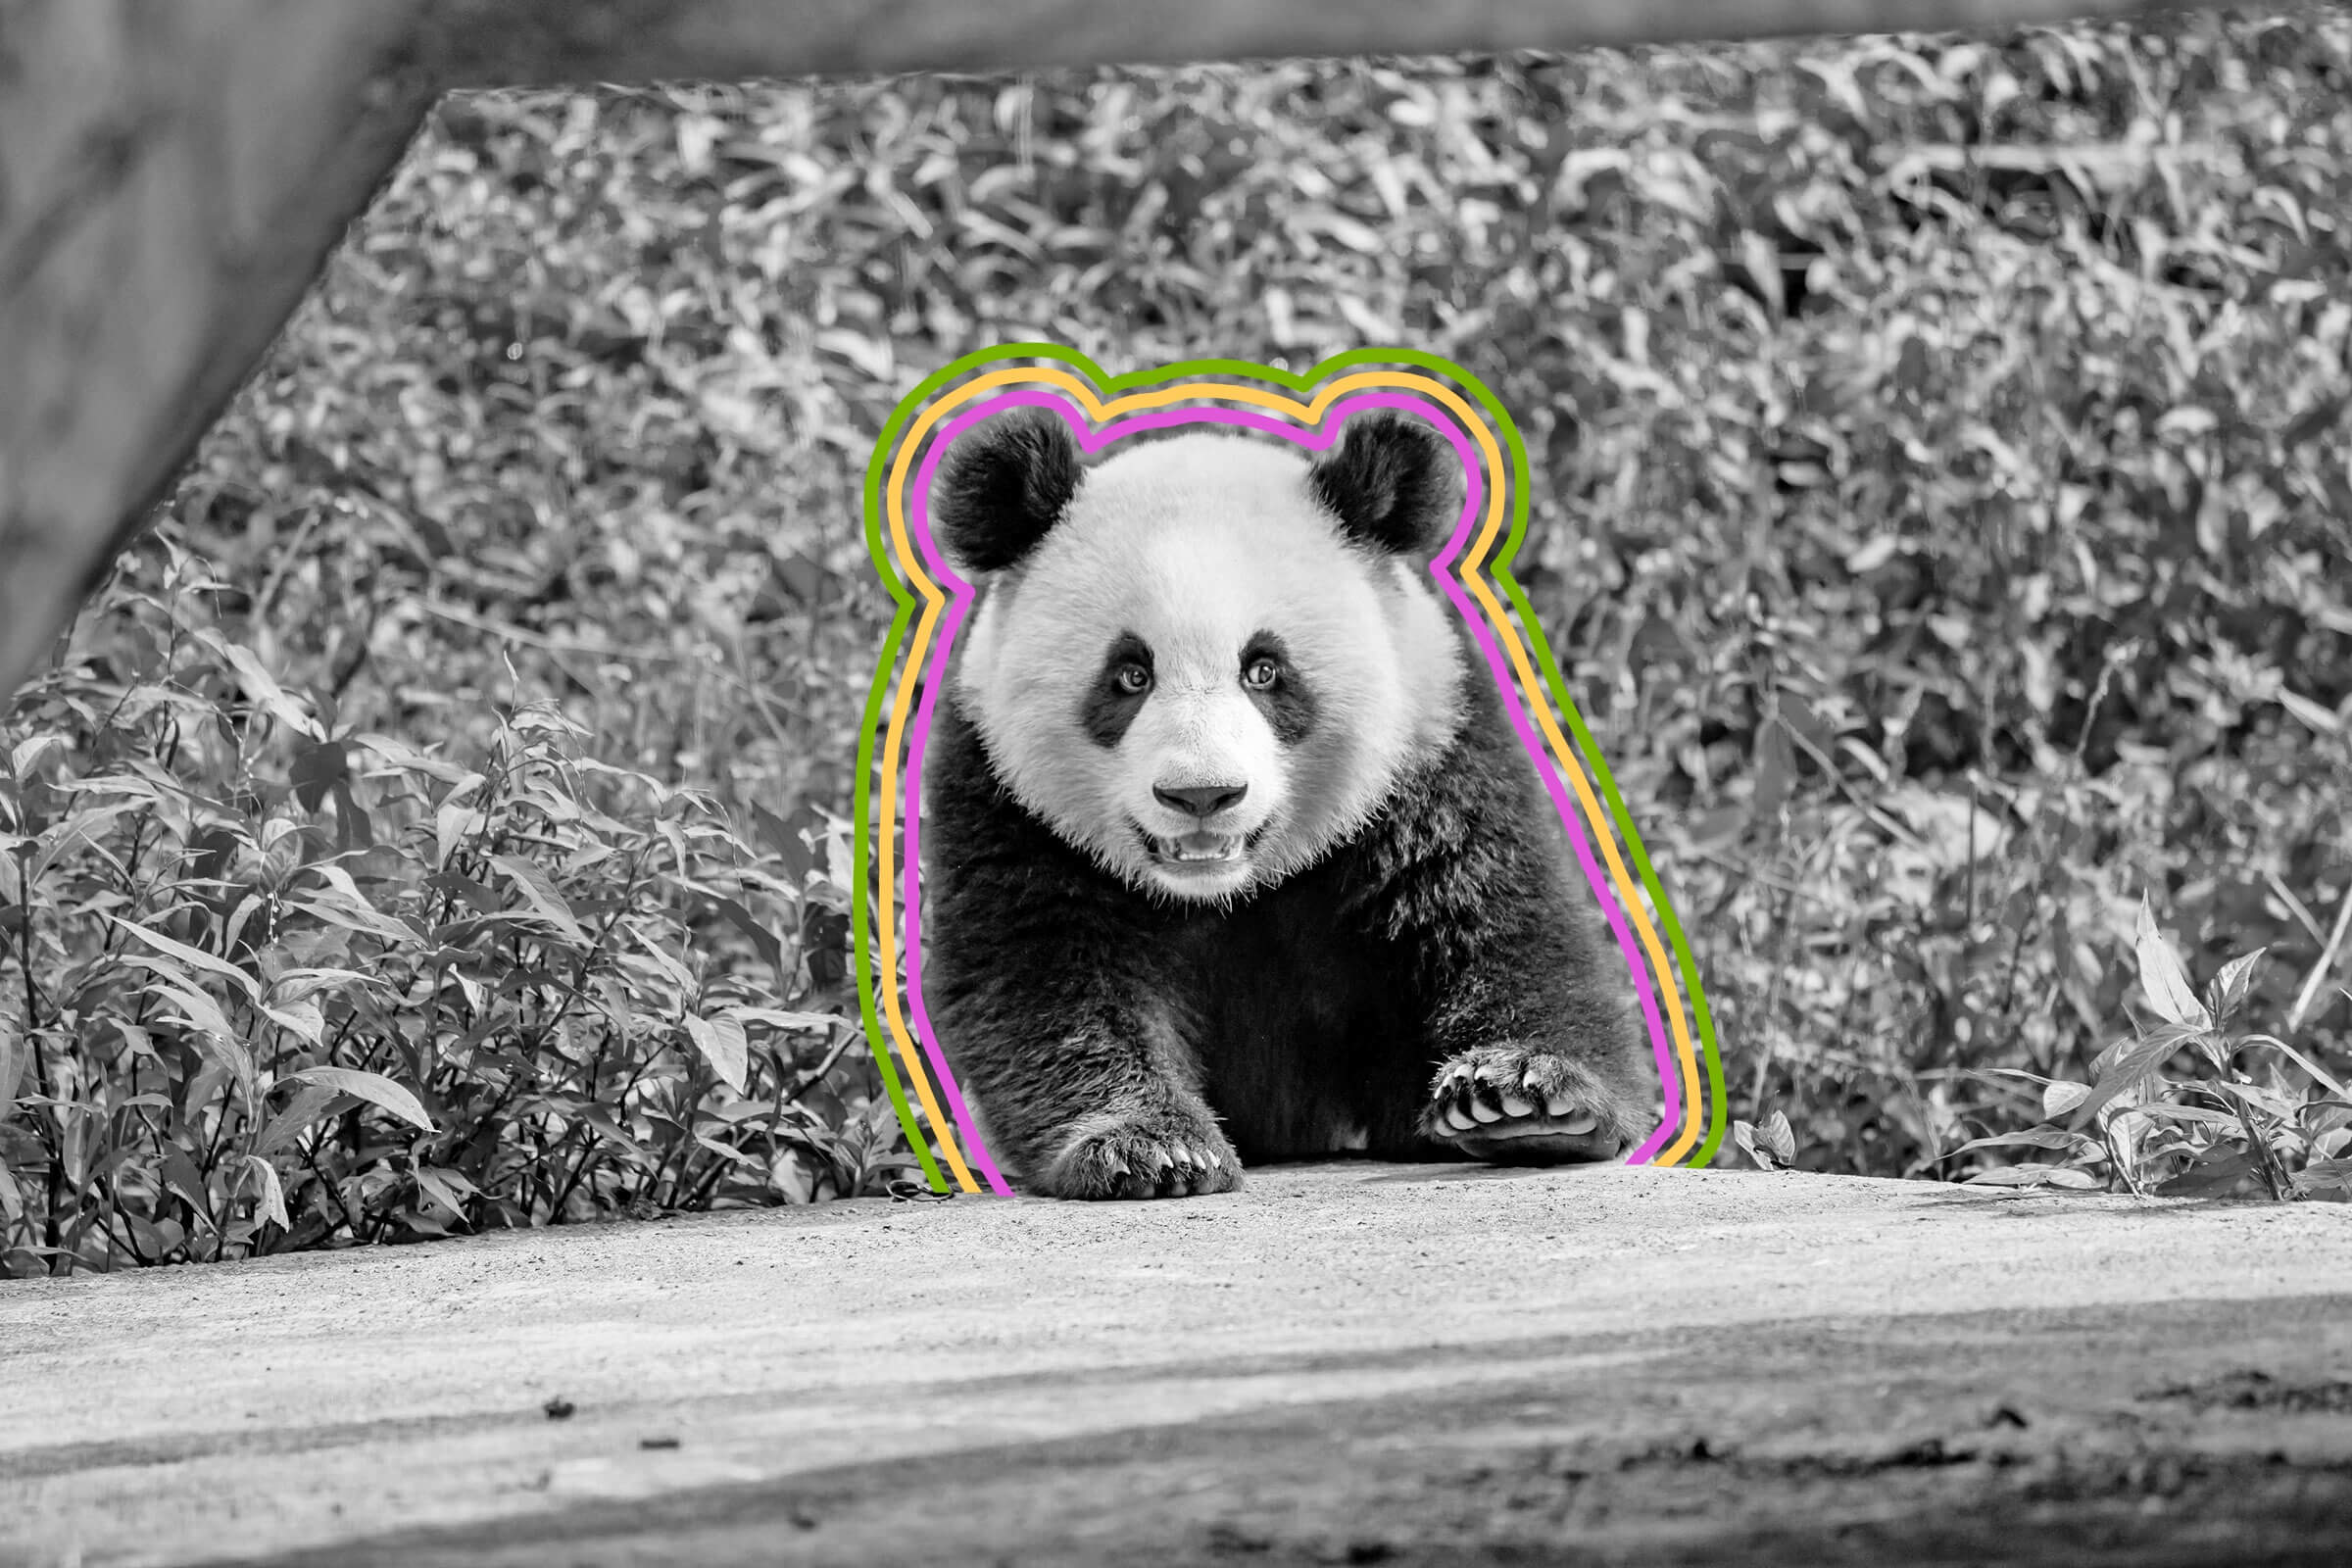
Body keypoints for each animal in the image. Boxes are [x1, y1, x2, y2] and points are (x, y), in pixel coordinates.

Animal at [920, 404, 1653, 1200]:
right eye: (1130, 675)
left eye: (1265, 670)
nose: (1202, 794)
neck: (1225, 890)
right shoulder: (1005, 799)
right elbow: (1052, 977)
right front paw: (1153, 1147)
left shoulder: (1430, 759)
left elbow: (1496, 919)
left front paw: (1524, 1097)